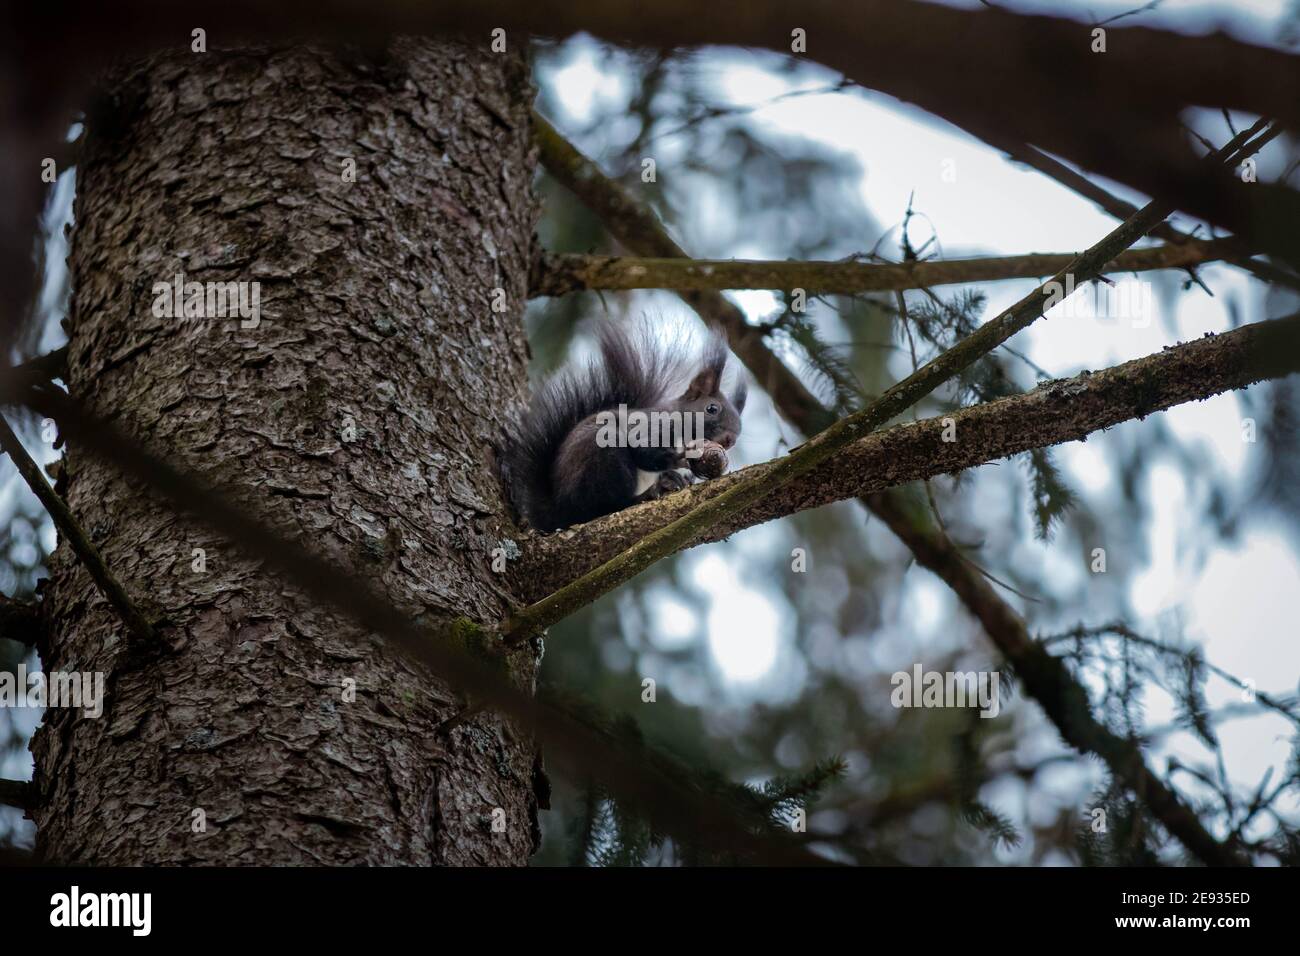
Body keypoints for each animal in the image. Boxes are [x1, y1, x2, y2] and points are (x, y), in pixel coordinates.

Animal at [502, 321, 747, 532]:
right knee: (606, 506)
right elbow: (645, 452)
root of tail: (559, 510)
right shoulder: (650, 426)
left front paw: (686, 475)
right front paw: (682, 458)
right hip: (602, 457)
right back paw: (646, 494)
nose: (730, 440)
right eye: (712, 409)